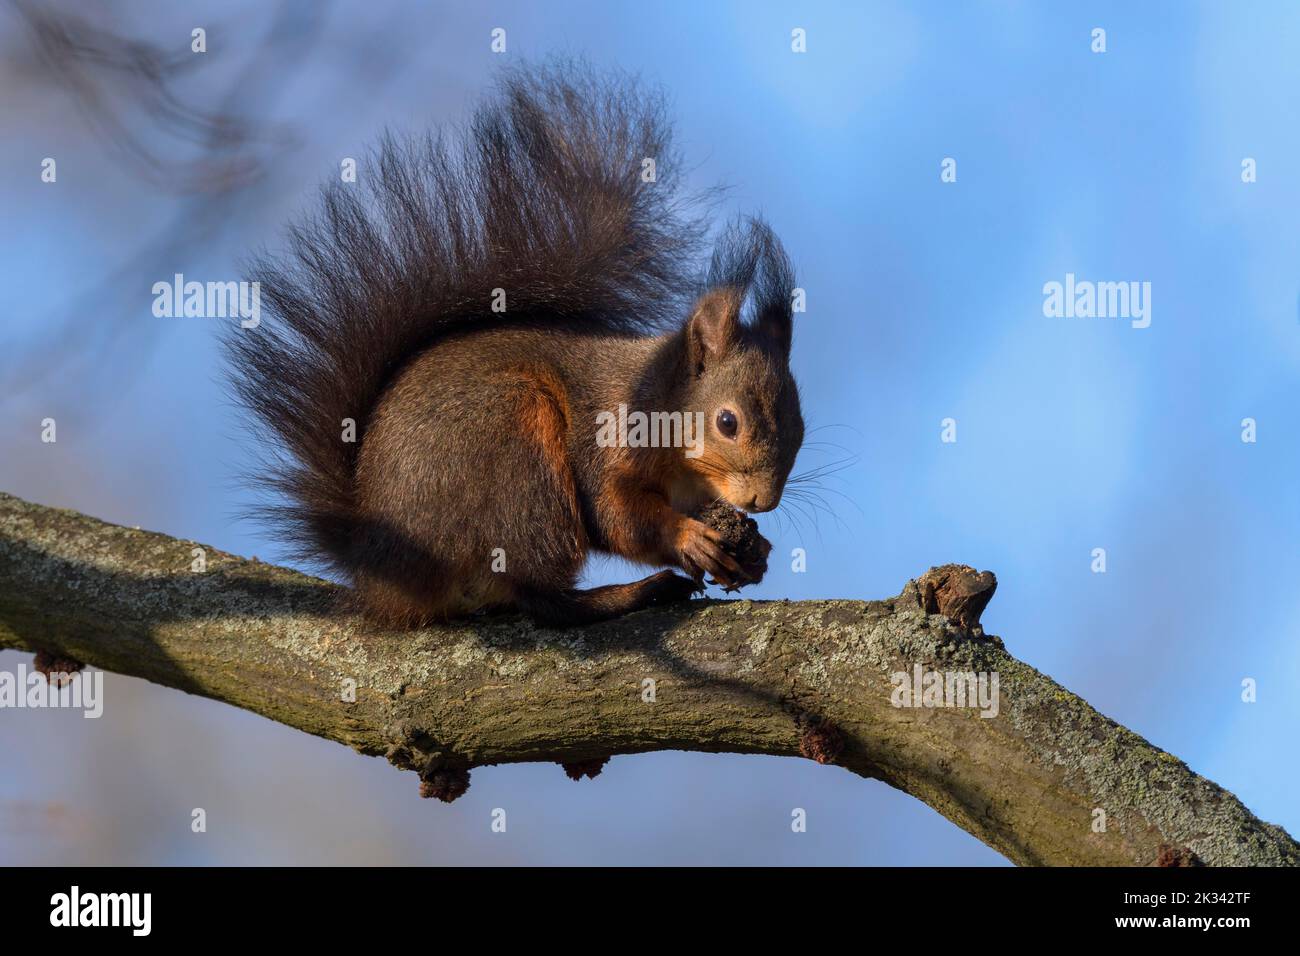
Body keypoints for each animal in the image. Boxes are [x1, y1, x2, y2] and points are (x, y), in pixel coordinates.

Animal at [226, 63, 804, 628]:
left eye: (800, 428)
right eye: (727, 422)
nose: (762, 501)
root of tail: (387, 576)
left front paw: (756, 552)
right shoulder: (606, 444)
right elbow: (616, 516)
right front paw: (690, 538)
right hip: (515, 452)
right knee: (541, 598)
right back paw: (631, 593)